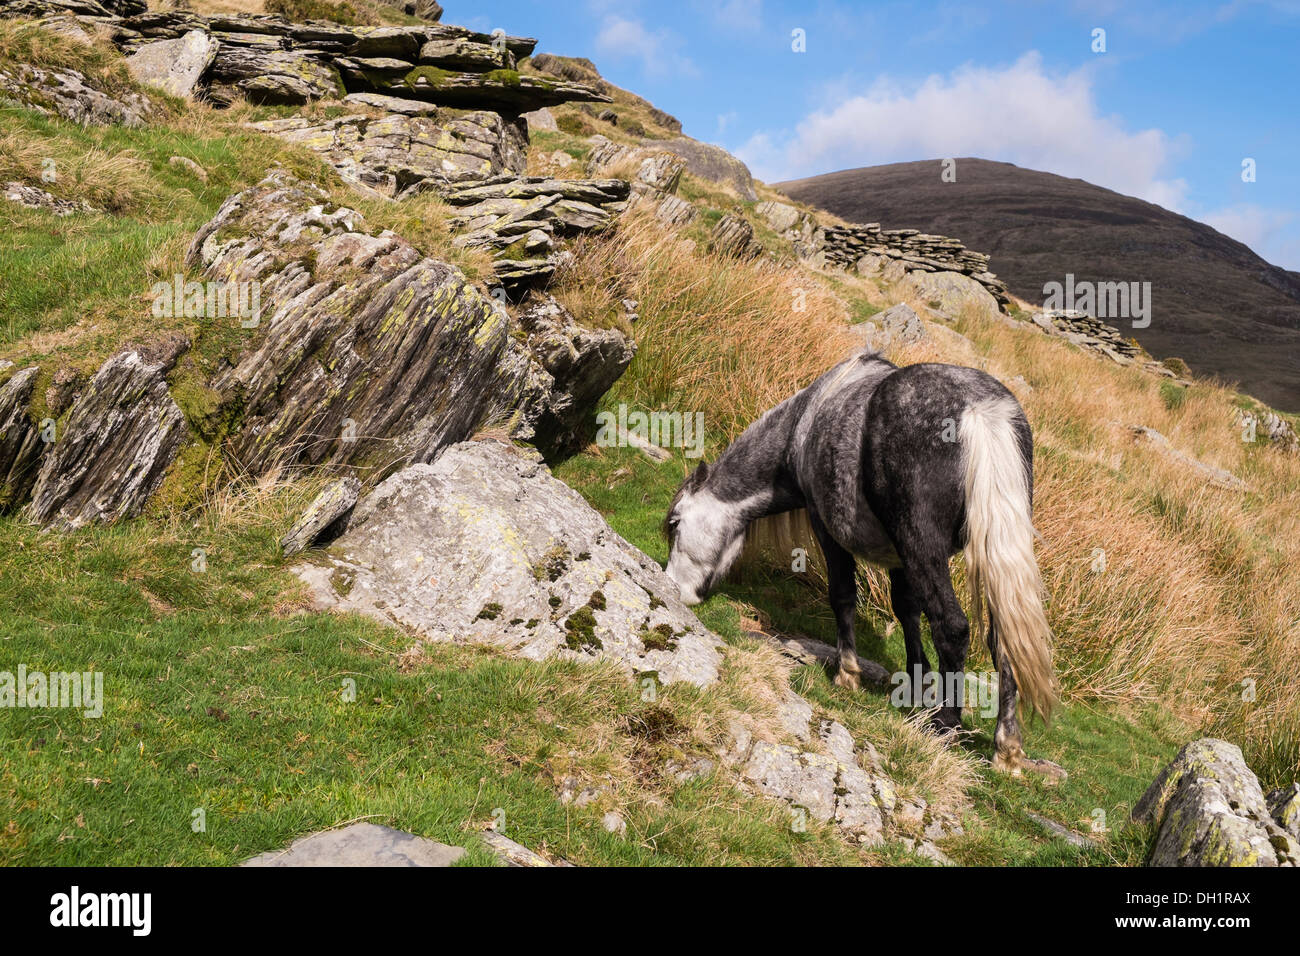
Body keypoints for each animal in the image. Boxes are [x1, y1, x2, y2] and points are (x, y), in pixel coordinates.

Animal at [663, 350, 1065, 780]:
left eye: (675, 524)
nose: (673, 587)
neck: (805, 424)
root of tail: (980, 411)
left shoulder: (828, 529)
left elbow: (842, 596)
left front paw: (848, 672)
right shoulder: (900, 557)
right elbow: (906, 610)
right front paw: (916, 683)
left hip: (921, 542)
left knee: (952, 627)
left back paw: (945, 727)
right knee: (1002, 640)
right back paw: (1006, 746)